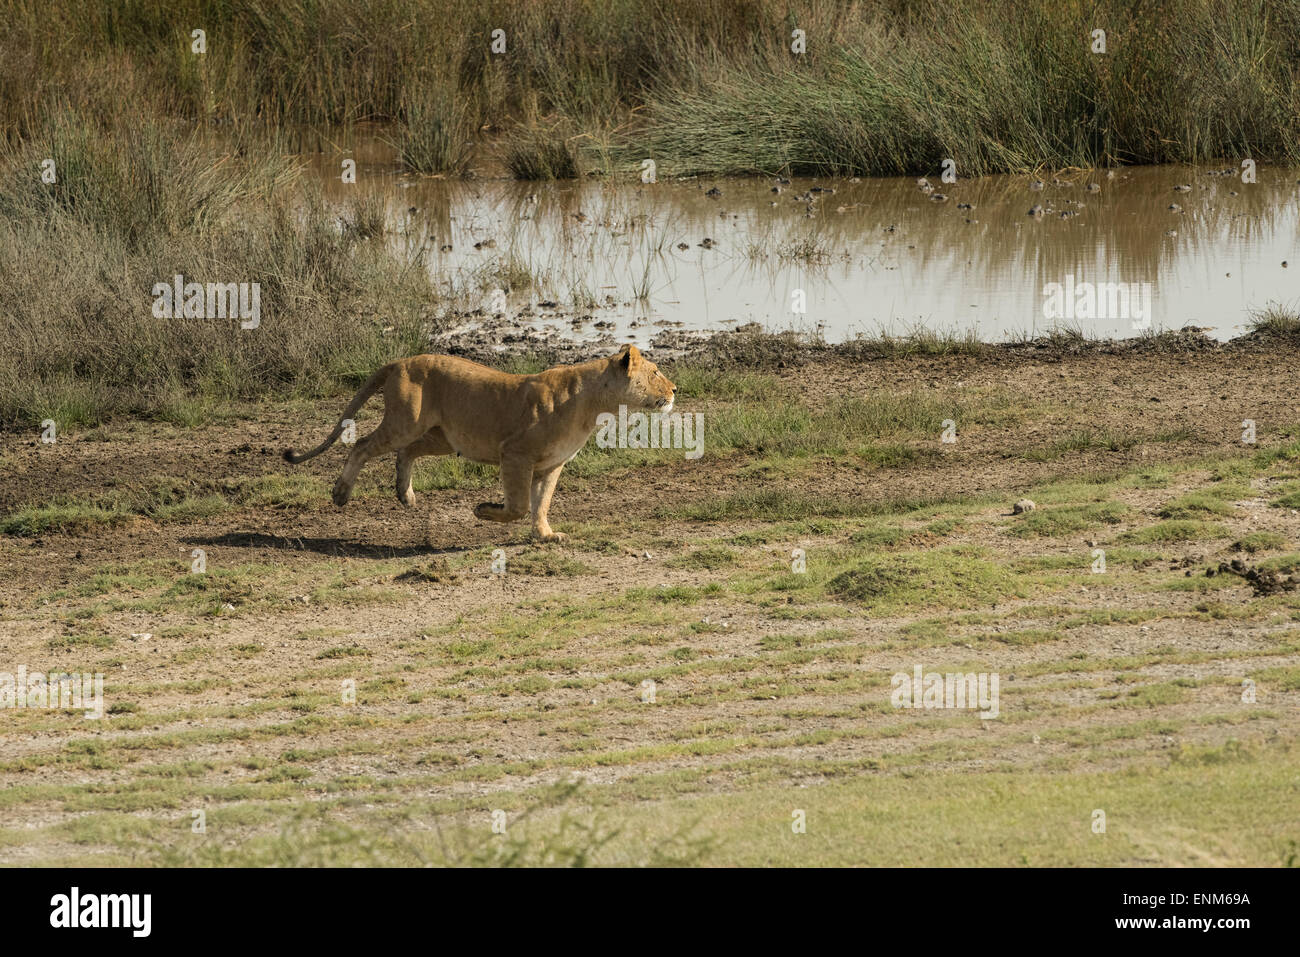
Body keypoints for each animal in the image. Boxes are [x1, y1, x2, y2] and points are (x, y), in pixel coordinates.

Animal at [282, 345, 676, 542]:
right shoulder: (515, 454)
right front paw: (482, 511)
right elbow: (518, 506)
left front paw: (545, 536)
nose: (674, 389)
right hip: (405, 421)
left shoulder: (551, 465)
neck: (595, 404)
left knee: (406, 452)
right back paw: (341, 493)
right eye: (655, 372)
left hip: (441, 435)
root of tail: (400, 361)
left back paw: (405, 494)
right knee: (362, 444)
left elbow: (541, 504)